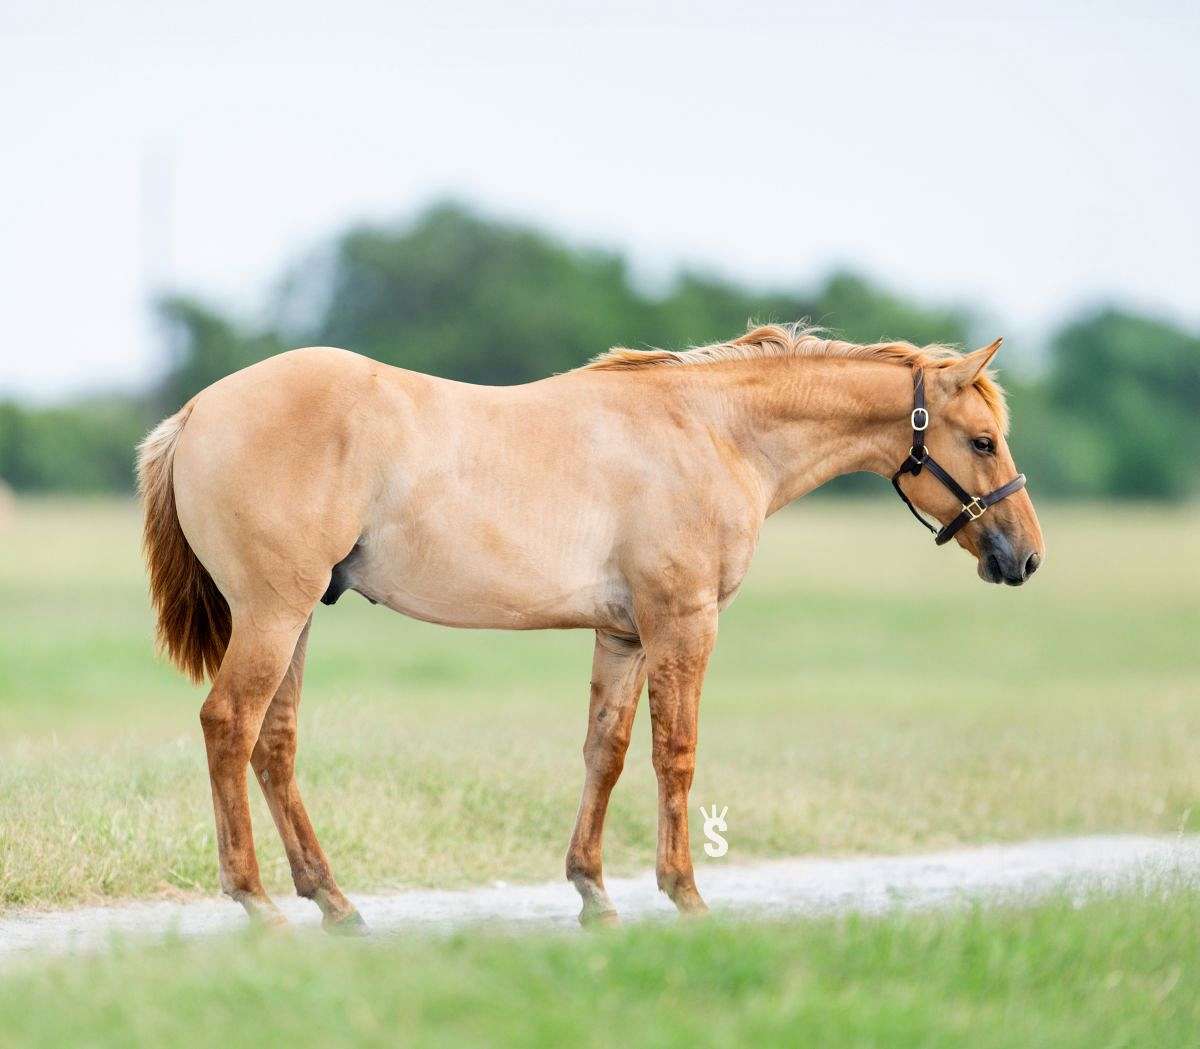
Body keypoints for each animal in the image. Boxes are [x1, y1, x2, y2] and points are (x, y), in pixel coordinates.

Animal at [137, 322, 1044, 931]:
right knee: (229, 726)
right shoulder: (683, 623)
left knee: (273, 742)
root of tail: (198, 410)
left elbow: (604, 753)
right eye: (983, 440)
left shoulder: (626, 635)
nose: (1026, 557)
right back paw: (256, 902)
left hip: (293, 621)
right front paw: (685, 894)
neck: (712, 433)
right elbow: (675, 754)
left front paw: (593, 893)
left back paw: (332, 901)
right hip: (273, 614)